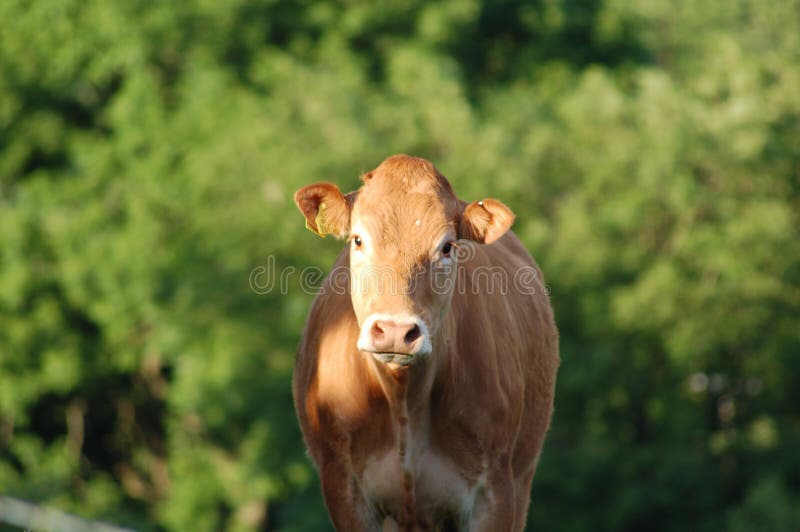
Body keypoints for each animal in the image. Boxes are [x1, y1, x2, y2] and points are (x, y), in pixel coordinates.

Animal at [293, 154, 559, 531]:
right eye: (358, 240)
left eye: (447, 247)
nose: (394, 330)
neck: (404, 400)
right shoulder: (344, 487)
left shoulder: (496, 492)